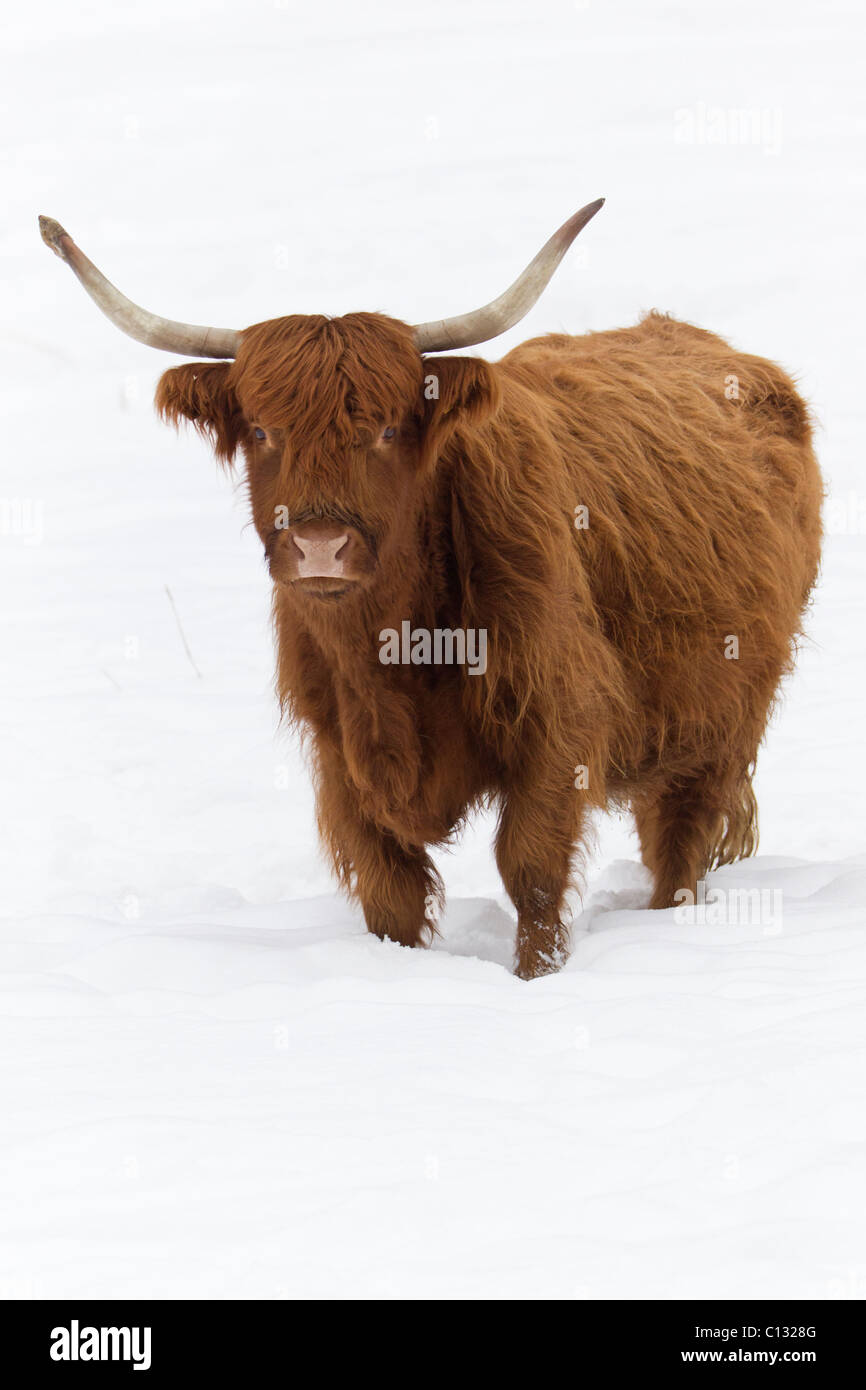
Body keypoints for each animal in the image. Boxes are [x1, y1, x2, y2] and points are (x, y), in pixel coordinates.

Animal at [39, 202, 822, 978]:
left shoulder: (556, 721)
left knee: (680, 837)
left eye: (387, 430)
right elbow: (390, 889)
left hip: (726, 713)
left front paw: (537, 975)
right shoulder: (341, 754)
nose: (320, 546)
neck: (393, 651)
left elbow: (531, 869)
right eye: (262, 430)